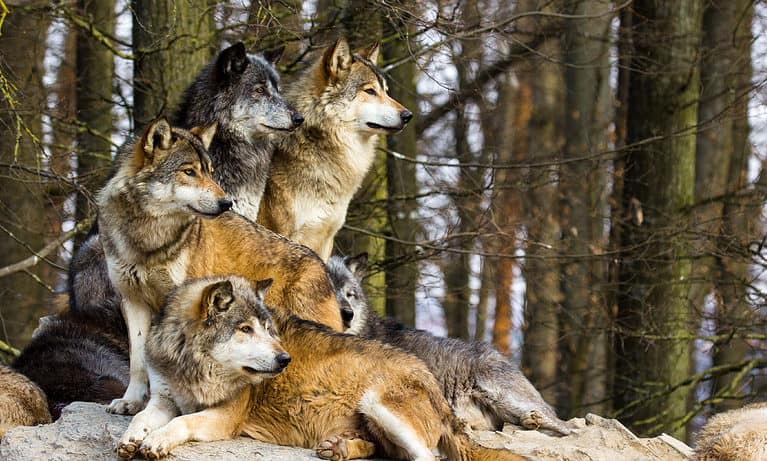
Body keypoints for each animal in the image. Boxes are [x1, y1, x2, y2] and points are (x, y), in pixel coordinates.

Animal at [97, 118, 343, 416]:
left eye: (210, 172)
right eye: (189, 171)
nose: (227, 203)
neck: (149, 240)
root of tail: (321, 264)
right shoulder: (132, 301)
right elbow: (137, 361)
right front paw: (131, 401)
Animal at [117, 276, 527, 461]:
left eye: (268, 328)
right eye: (246, 329)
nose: (284, 360)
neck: (193, 367)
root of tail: (435, 384)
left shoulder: (225, 417)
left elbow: (182, 423)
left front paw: (155, 442)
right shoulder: (163, 399)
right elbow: (142, 418)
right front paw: (132, 439)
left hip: (379, 403)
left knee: (426, 458)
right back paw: (339, 448)